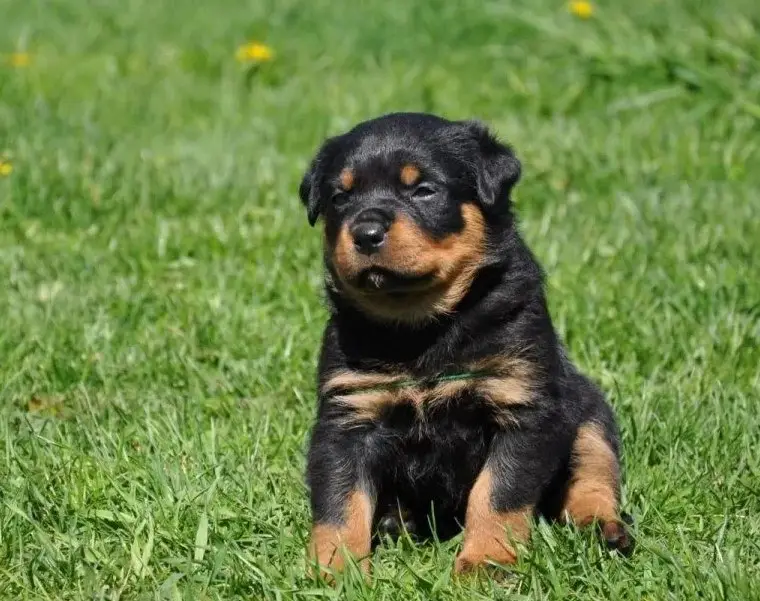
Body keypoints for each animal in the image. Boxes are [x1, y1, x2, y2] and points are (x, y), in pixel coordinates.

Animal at [298, 112, 628, 576]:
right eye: (340, 197)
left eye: (423, 190)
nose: (365, 232)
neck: (419, 326)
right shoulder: (348, 414)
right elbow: (339, 502)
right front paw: (335, 570)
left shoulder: (523, 405)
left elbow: (497, 494)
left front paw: (484, 563)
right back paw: (394, 522)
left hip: (588, 409)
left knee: (594, 476)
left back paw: (605, 530)